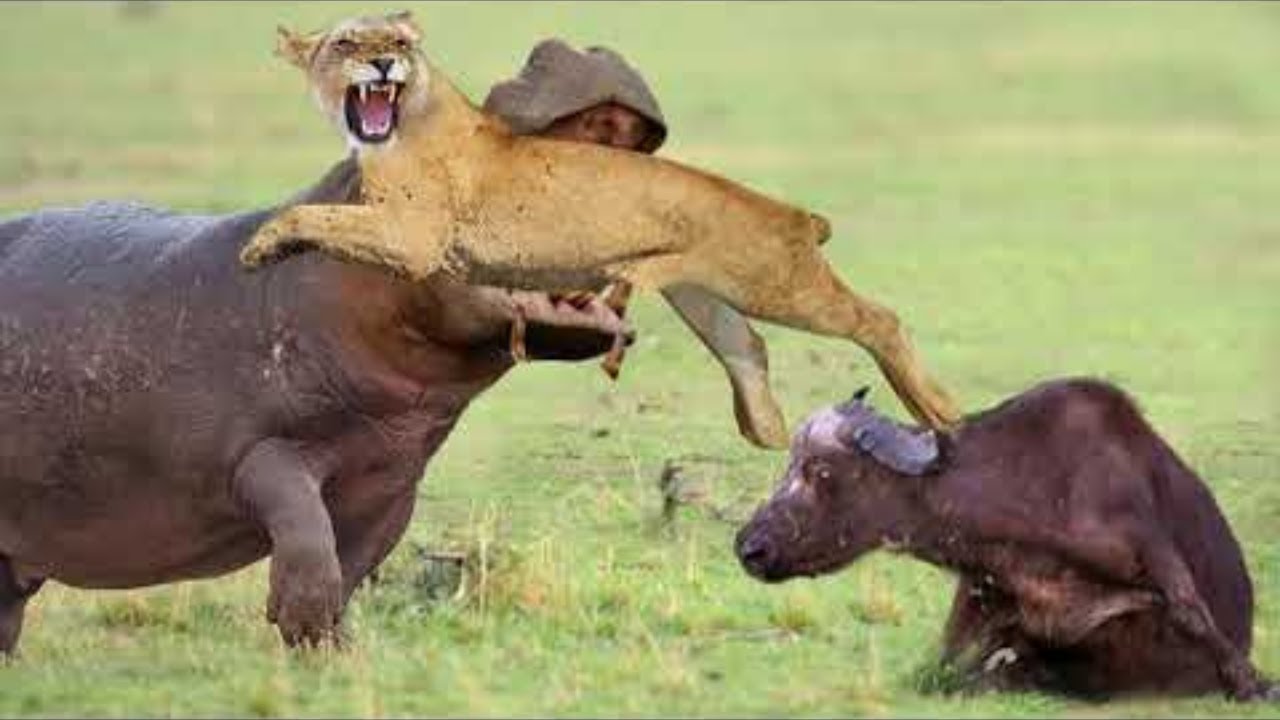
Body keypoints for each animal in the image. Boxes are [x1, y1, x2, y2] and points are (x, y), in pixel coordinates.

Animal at [239, 11, 962, 432]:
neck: (402, 124)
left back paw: (938, 411)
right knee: (749, 347)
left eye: (399, 42)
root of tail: (797, 215)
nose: (383, 62)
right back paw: (770, 432)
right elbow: (326, 215)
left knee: (878, 319)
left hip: (776, 282)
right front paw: (272, 251)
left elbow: (314, 213)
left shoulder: (416, 239)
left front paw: (260, 246)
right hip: (701, 294)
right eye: (345, 42)